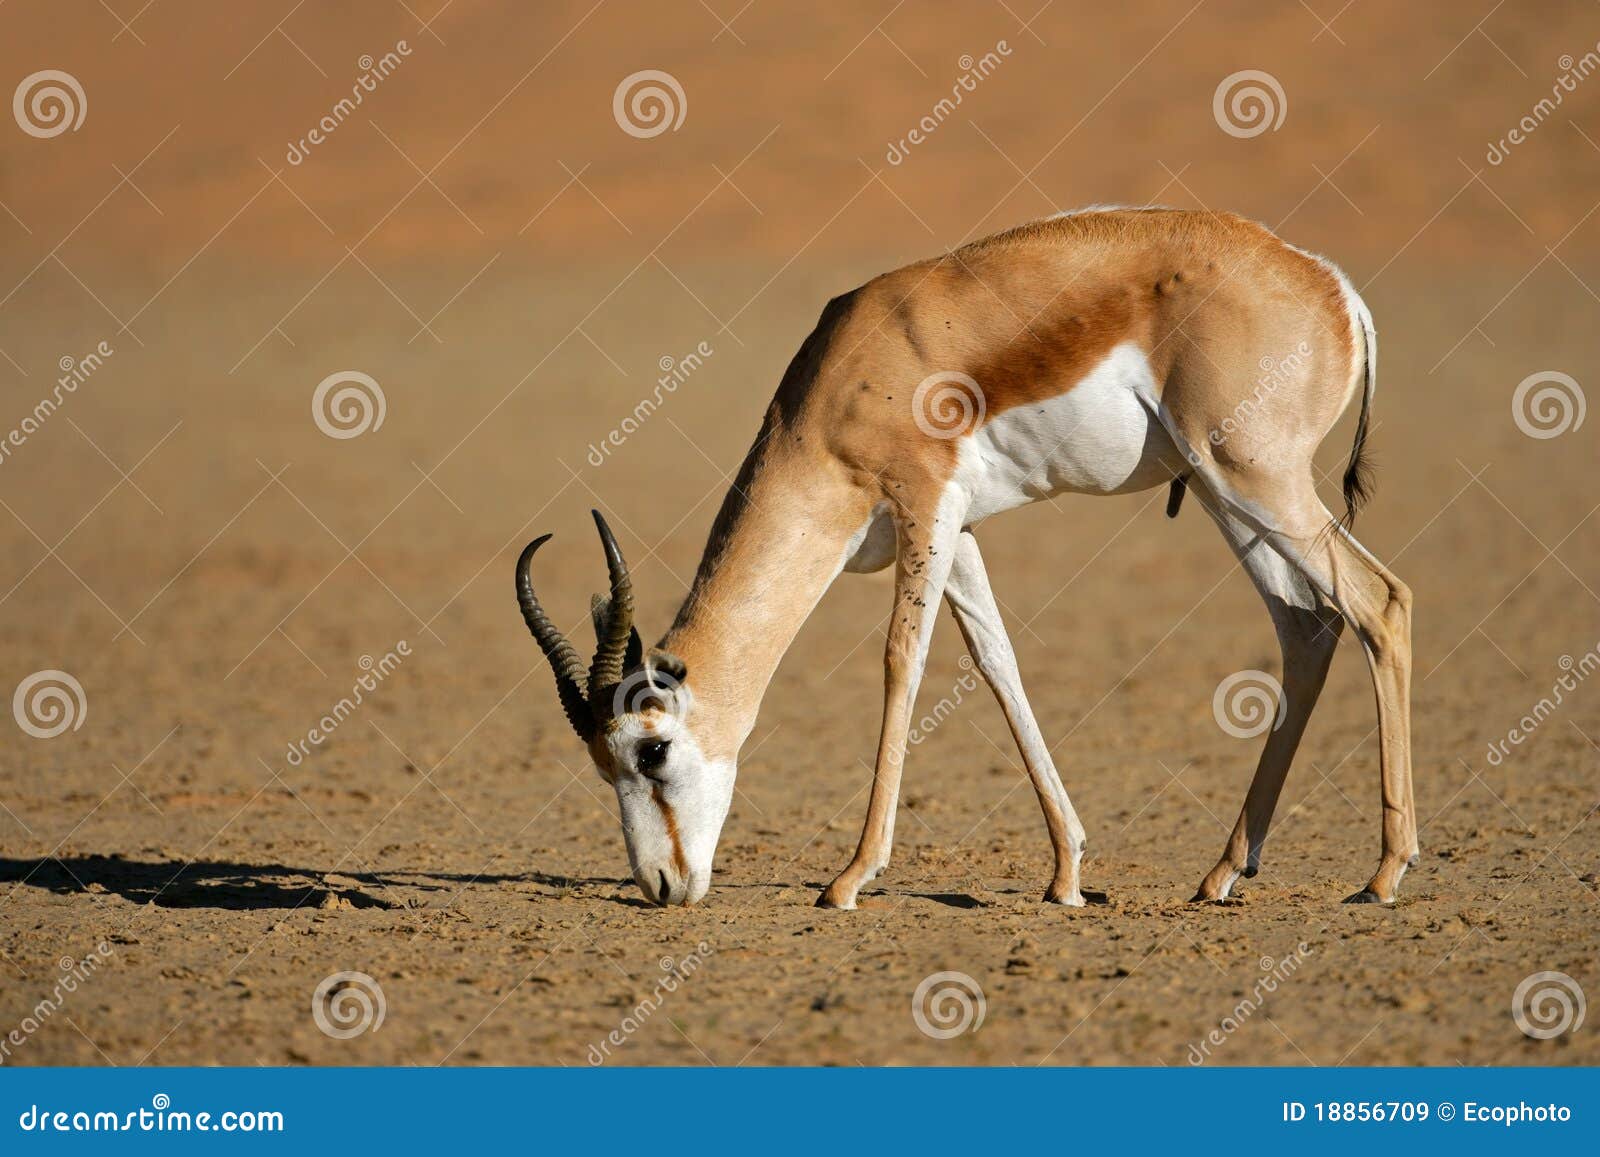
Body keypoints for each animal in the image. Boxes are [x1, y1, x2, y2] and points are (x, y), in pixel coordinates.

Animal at [516, 207, 1416, 911]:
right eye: (601, 764)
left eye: (651, 749)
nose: (661, 885)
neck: (842, 385)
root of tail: (1330, 285)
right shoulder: (963, 529)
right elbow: (996, 661)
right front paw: (1066, 873)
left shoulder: (925, 501)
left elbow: (901, 662)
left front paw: (850, 876)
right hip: (1221, 491)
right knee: (1308, 626)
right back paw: (1224, 870)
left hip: (1255, 479)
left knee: (1380, 601)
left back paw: (1381, 874)